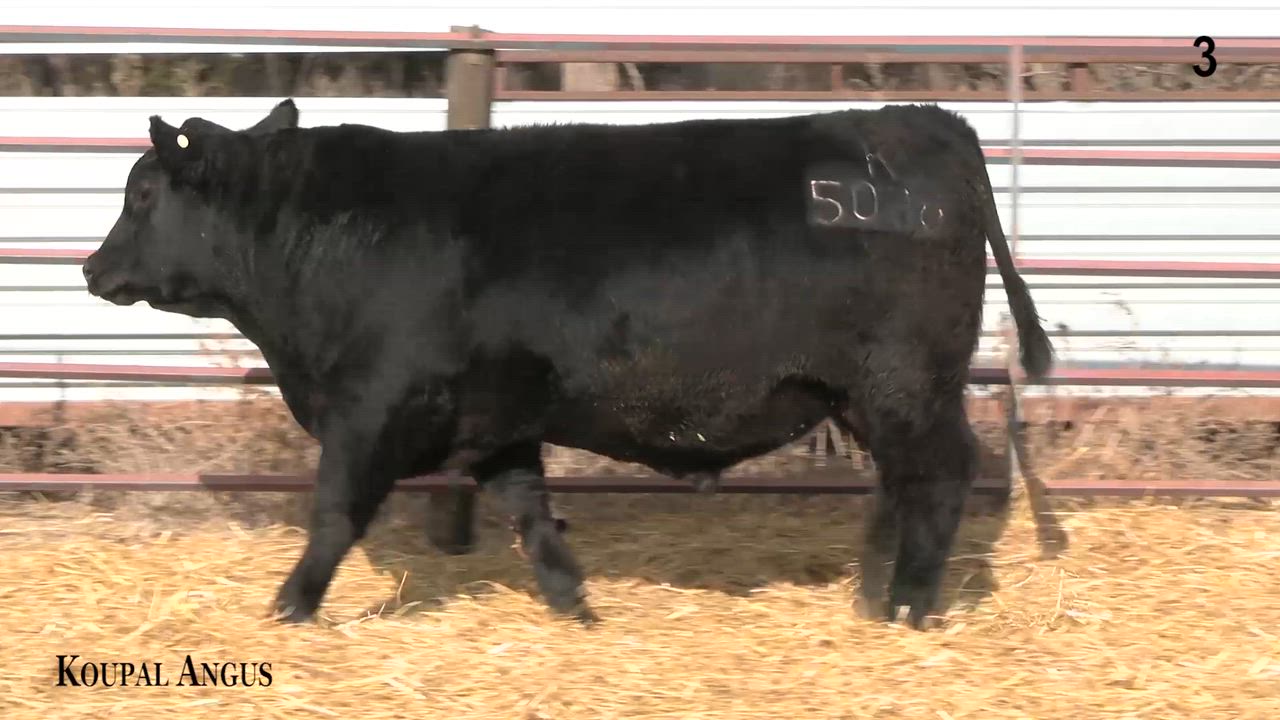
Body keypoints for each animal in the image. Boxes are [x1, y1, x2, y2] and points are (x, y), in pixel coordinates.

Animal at [82, 98, 1052, 630]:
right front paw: (576, 605)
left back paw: (910, 604)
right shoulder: (495, 420)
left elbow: (332, 518)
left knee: (943, 475)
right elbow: (530, 515)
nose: (92, 269)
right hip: (865, 393)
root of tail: (924, 122)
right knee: (901, 483)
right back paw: (872, 591)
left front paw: (289, 605)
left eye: (142, 192)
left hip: (908, 384)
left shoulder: (370, 409)